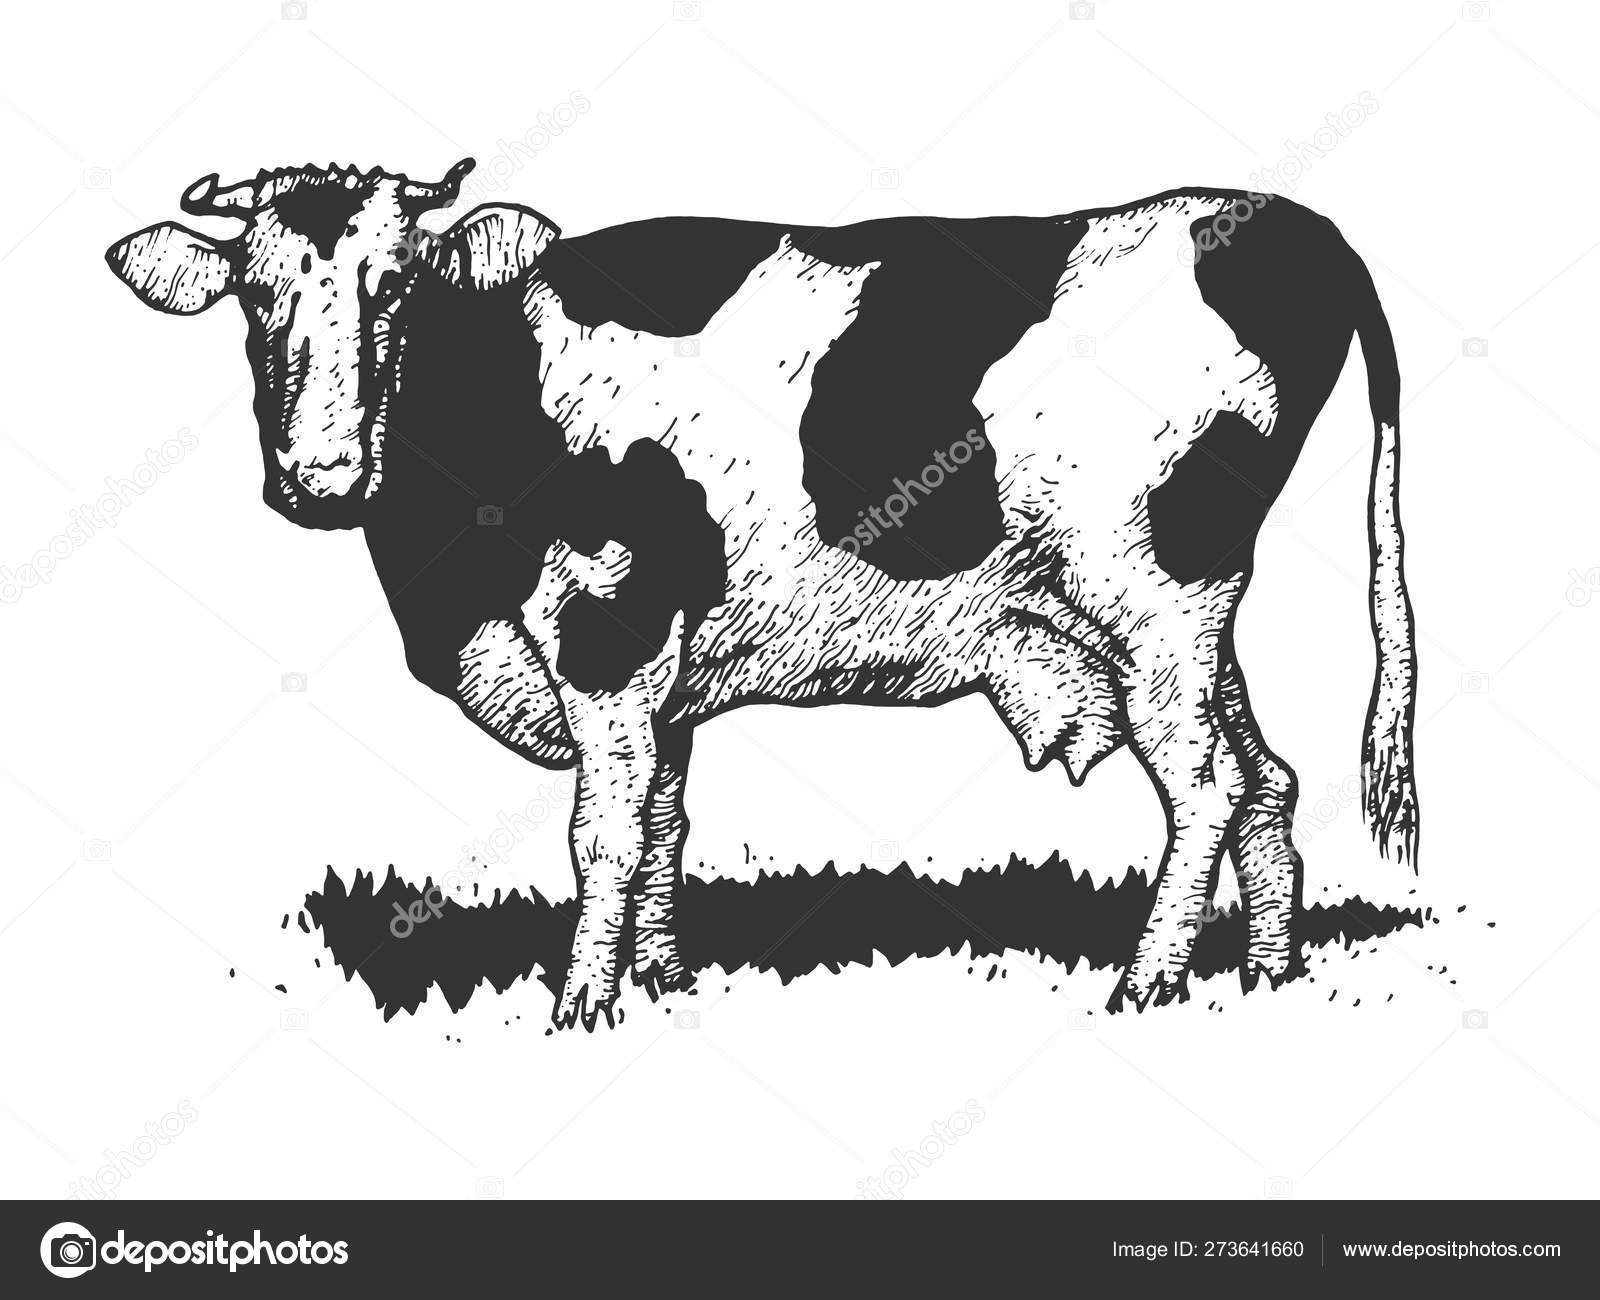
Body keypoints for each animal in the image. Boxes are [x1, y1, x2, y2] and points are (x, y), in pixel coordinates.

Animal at [106, 159, 1418, 1029]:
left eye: (393, 288)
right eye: (255, 295)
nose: (320, 476)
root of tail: (1273, 216)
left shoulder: (608, 624)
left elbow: (602, 830)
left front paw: (580, 1007)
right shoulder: (667, 668)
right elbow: (662, 821)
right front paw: (663, 983)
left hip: (1156, 597)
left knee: (1202, 788)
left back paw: (1144, 984)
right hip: (1184, 621)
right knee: (1264, 778)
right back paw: (1266, 977)